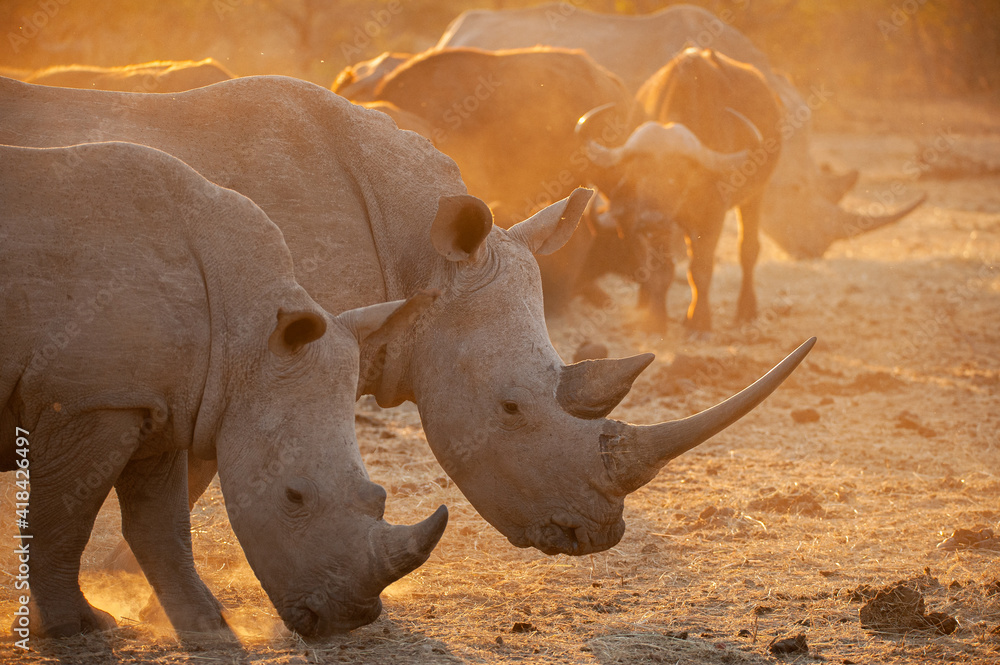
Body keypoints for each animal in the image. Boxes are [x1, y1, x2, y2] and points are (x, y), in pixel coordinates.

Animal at [0, 141, 446, 638]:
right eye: (293, 496)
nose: (347, 619)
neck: (244, 333)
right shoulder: (90, 401)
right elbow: (62, 519)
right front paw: (75, 627)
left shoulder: (154, 402)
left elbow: (162, 524)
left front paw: (207, 623)